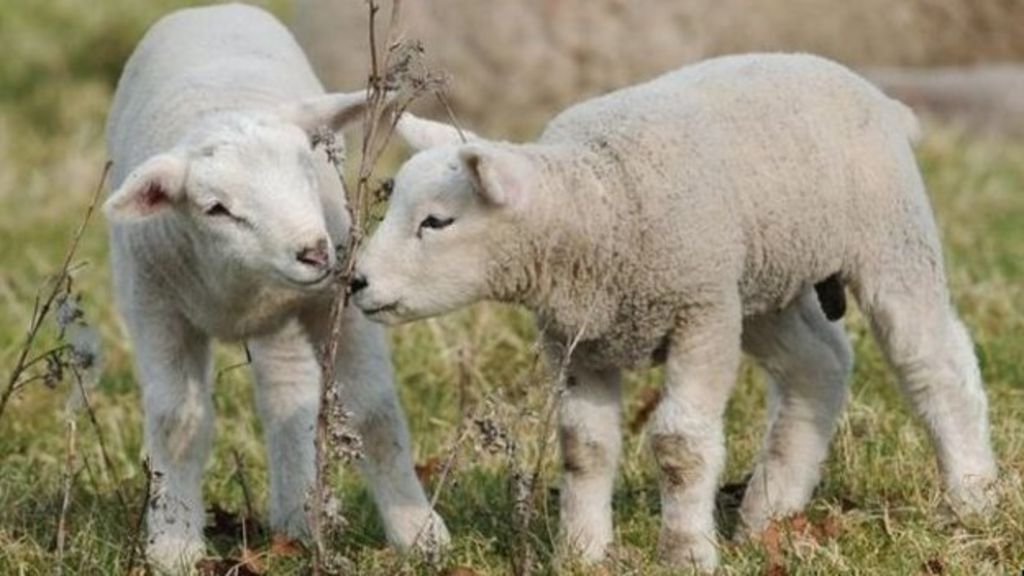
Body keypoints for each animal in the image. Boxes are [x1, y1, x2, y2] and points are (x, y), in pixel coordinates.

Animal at [103, 4, 446, 571]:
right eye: (216, 209)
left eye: (307, 166)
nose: (315, 252)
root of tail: (208, 10)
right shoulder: (155, 309)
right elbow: (178, 422)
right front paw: (173, 543)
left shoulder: (337, 301)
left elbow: (374, 411)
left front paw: (418, 533)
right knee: (286, 391)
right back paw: (298, 518)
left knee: (287, 395)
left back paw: (299, 520)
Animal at [351, 53, 997, 570]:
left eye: (437, 221)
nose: (357, 280)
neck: (595, 201)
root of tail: (887, 103)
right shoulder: (580, 341)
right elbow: (584, 448)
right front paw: (583, 552)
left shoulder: (699, 314)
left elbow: (680, 445)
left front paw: (685, 552)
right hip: (760, 282)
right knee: (818, 366)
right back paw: (769, 512)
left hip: (889, 239)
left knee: (933, 362)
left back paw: (972, 493)